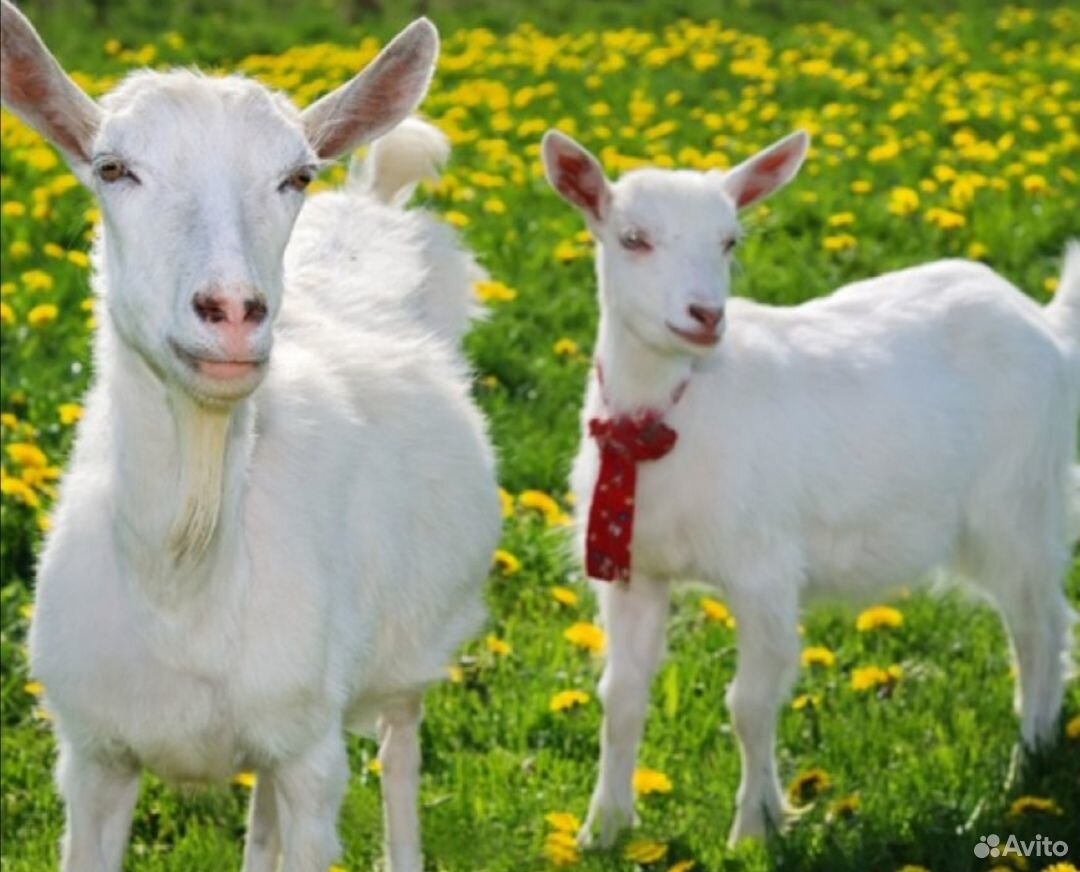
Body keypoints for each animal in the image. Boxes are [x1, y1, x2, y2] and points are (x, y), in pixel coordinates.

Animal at [0, 2, 501, 870]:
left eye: (296, 176)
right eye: (112, 169)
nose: (233, 310)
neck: (181, 586)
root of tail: (375, 208)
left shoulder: (313, 762)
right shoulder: (92, 755)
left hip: (409, 647)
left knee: (400, 748)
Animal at [541, 126, 1080, 847]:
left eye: (729, 240)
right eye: (632, 238)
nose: (705, 315)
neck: (672, 413)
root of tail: (1046, 323)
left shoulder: (764, 569)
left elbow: (748, 703)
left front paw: (753, 831)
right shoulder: (633, 570)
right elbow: (620, 695)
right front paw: (603, 830)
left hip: (1018, 501)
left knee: (1041, 625)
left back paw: (1026, 765)